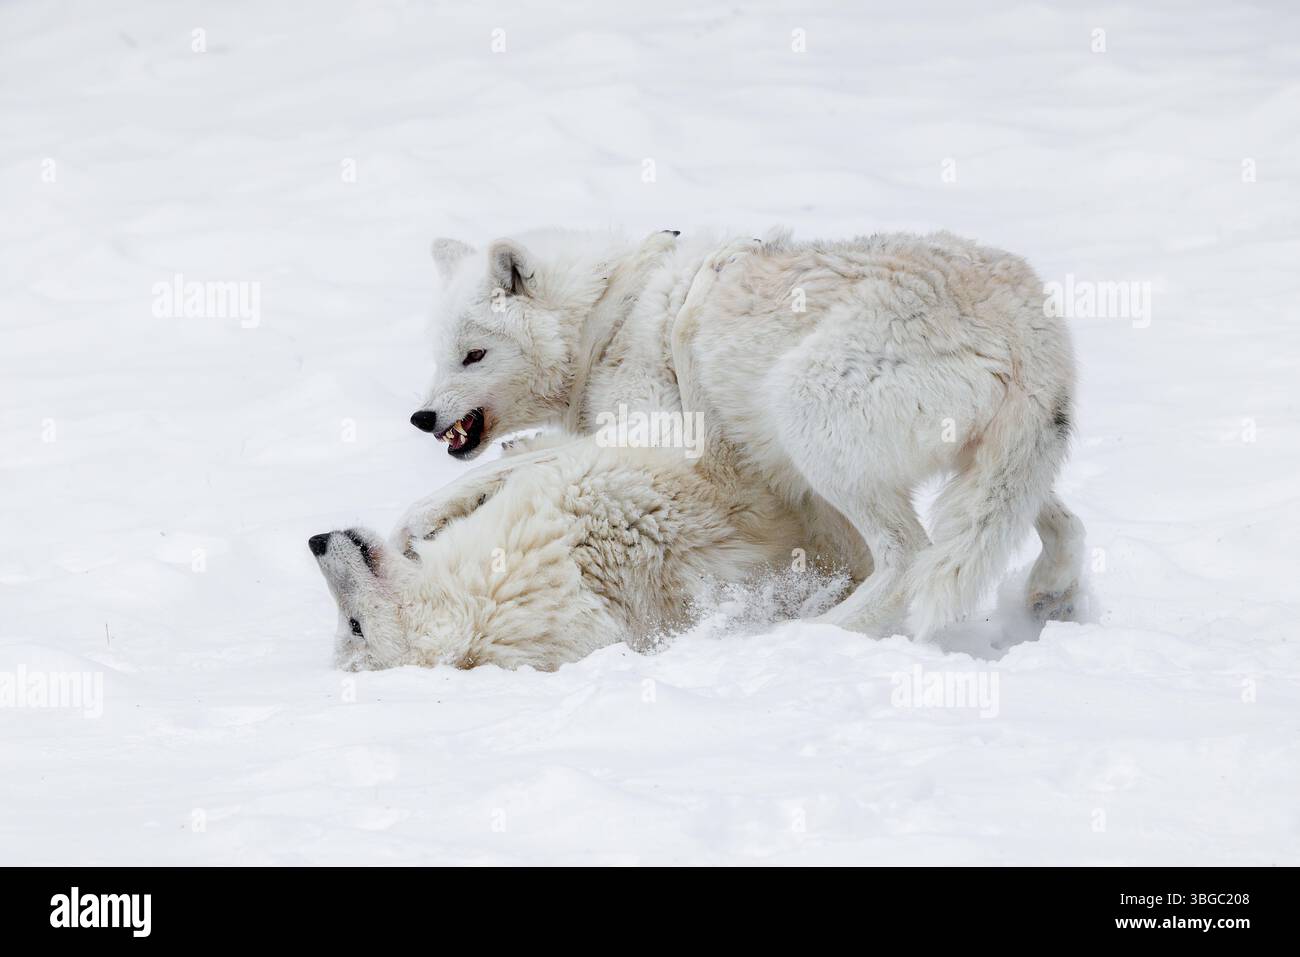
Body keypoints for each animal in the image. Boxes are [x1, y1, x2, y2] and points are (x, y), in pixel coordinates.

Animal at [409, 228, 1086, 638]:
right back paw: (1053, 592)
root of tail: (1023, 319)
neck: (609, 317)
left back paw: (811, 634)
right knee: (1063, 522)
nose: (422, 419)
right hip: (998, 469)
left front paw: (423, 516)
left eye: (474, 356)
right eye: (442, 356)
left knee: (908, 556)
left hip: (805, 419)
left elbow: (506, 470)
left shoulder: (667, 437)